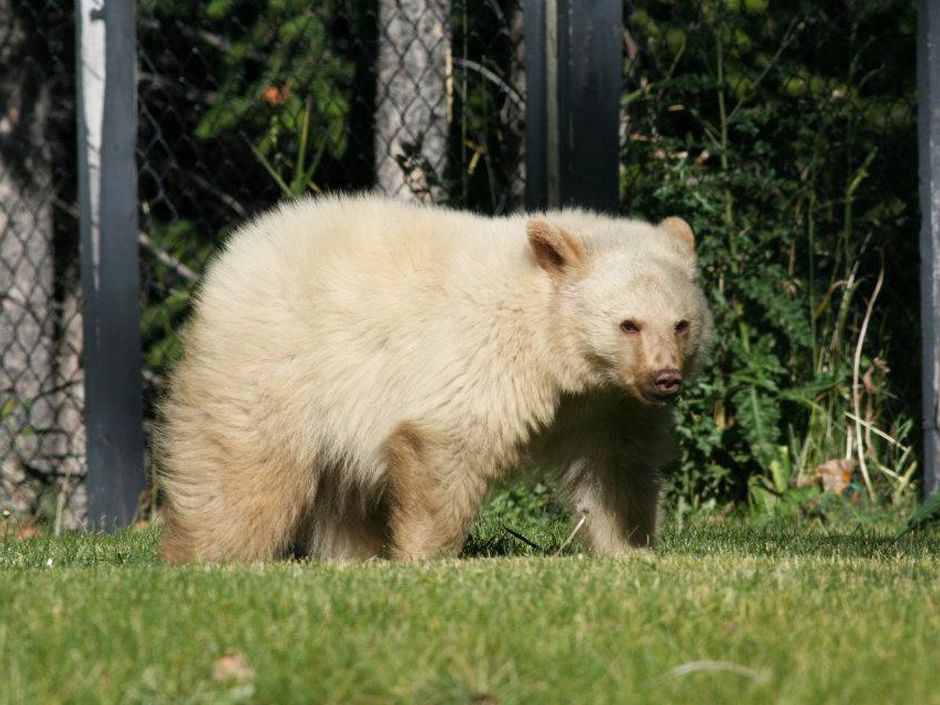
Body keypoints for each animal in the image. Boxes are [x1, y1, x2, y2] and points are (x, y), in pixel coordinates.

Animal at [155, 194, 713, 561]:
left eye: (681, 324)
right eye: (628, 324)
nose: (665, 379)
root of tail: (234, 252)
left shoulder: (608, 403)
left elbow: (615, 465)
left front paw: (632, 549)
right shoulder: (483, 353)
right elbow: (448, 446)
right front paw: (425, 558)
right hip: (274, 359)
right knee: (244, 469)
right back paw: (207, 555)